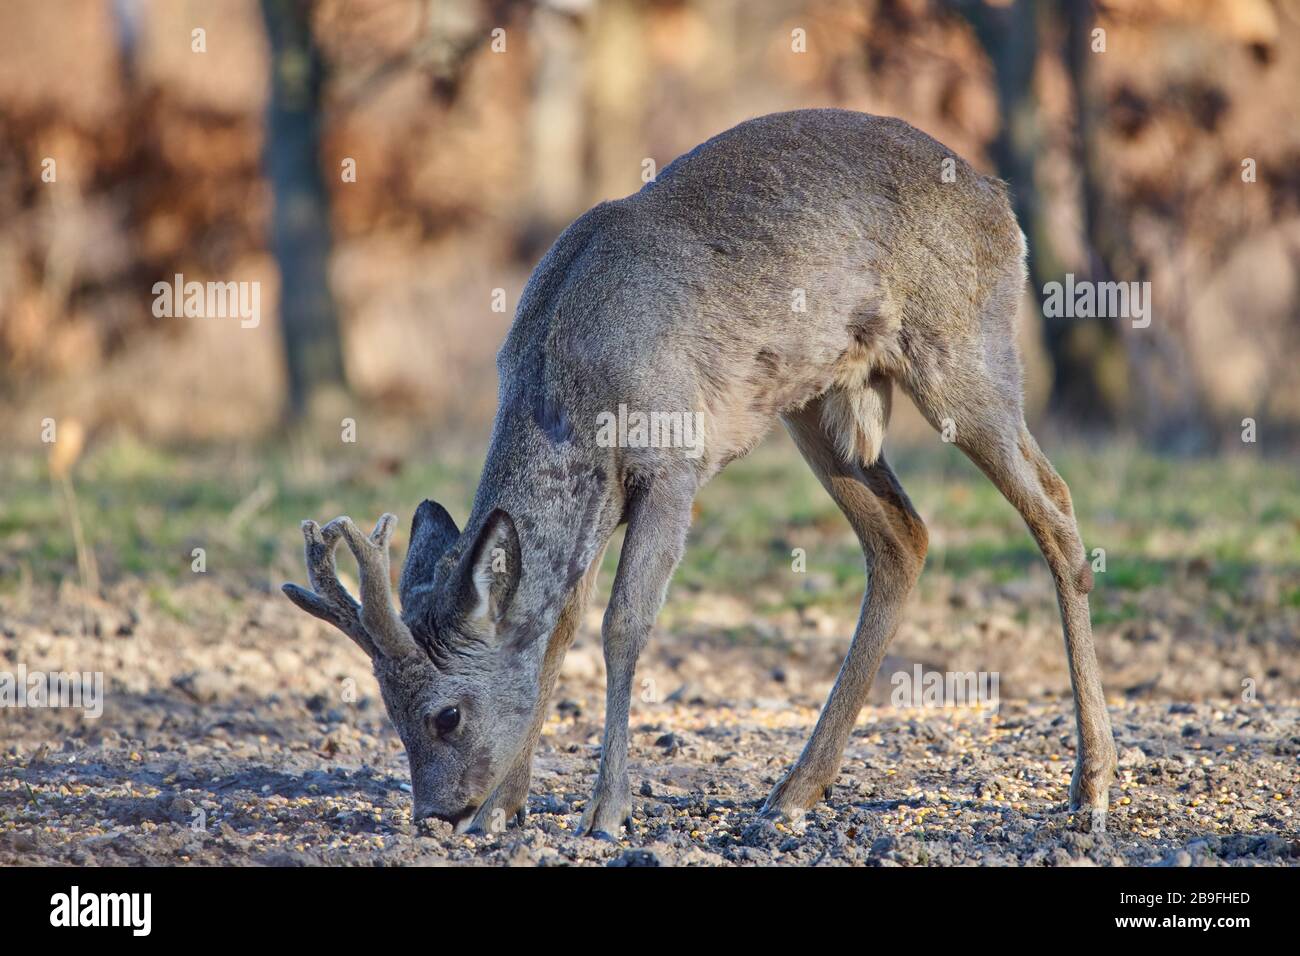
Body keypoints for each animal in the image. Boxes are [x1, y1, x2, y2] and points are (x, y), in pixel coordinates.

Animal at [283, 109, 1118, 838]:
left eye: (446, 714)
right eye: (388, 709)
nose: (438, 812)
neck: (566, 380)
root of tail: (1001, 203)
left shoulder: (672, 462)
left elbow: (624, 624)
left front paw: (605, 811)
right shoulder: (602, 495)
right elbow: (558, 626)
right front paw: (505, 810)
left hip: (963, 353)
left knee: (1055, 506)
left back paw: (1091, 786)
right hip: (819, 405)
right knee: (902, 537)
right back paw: (792, 792)